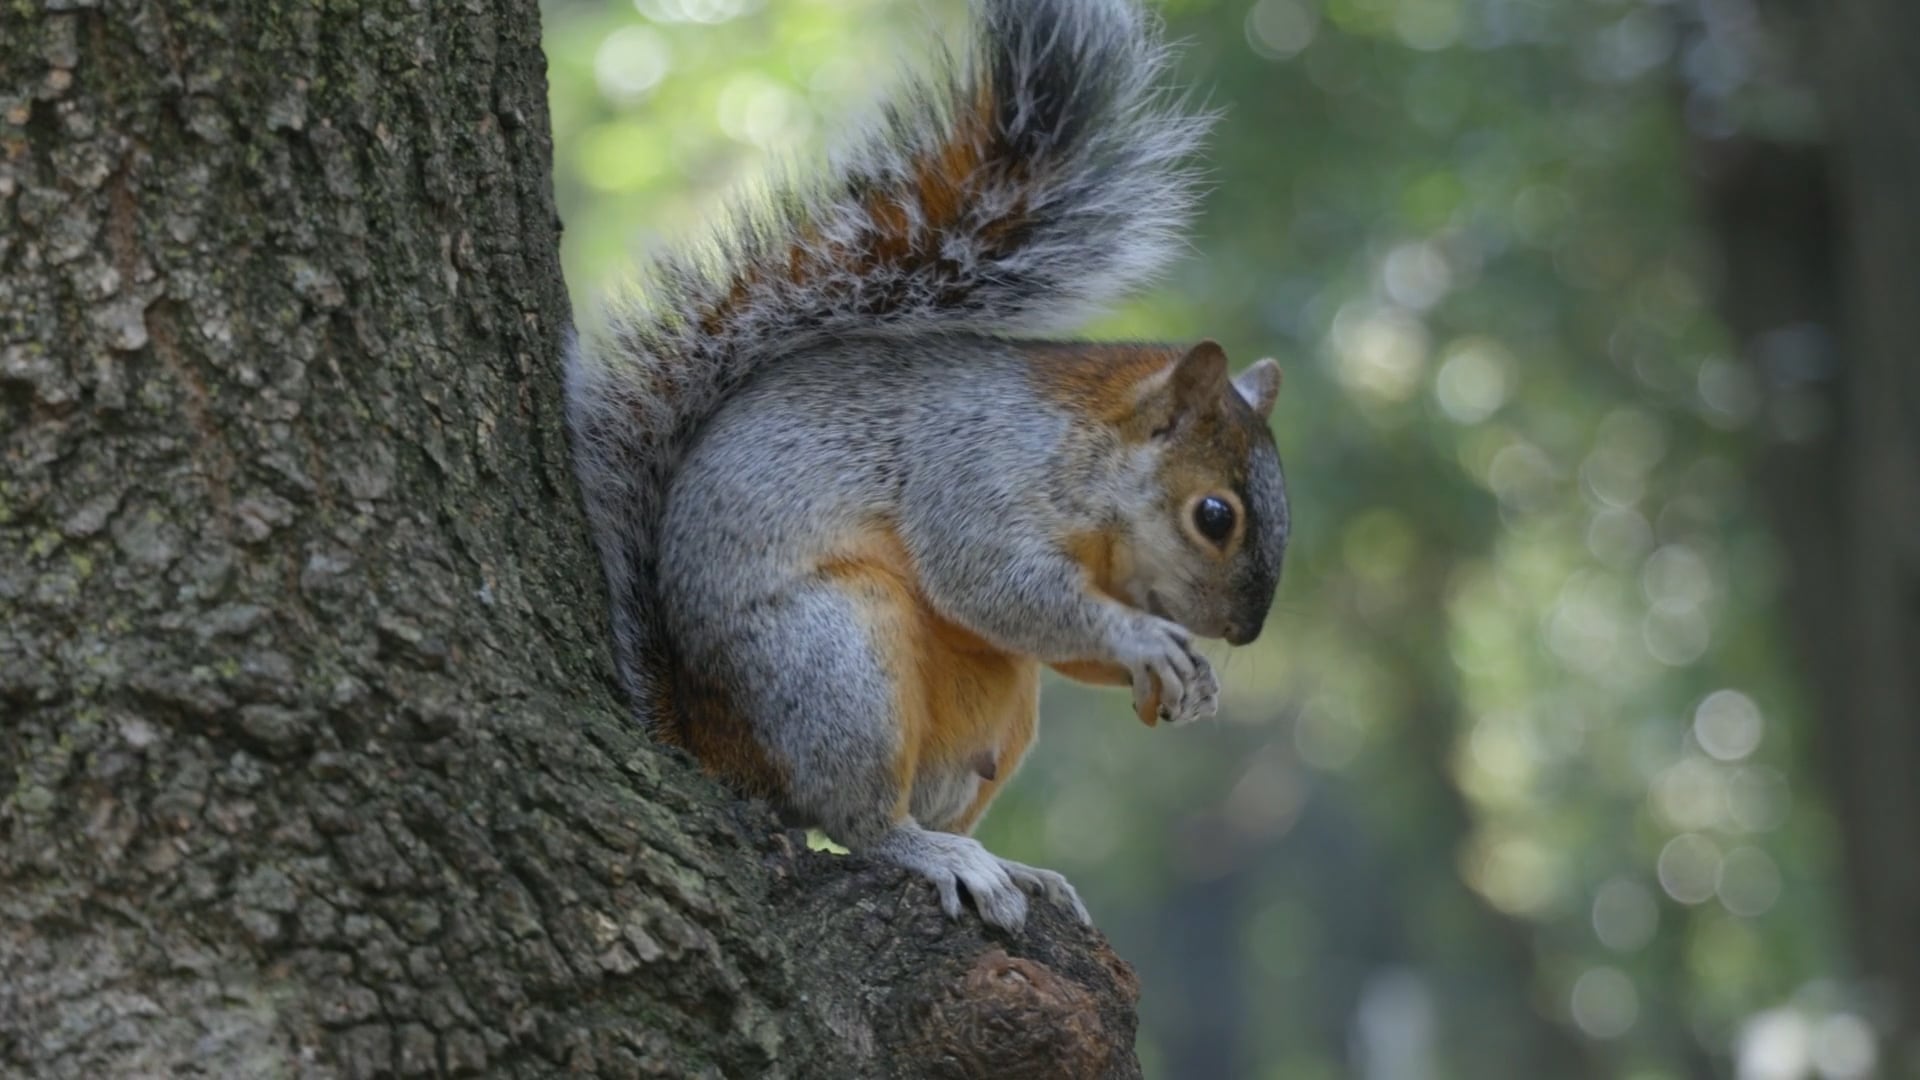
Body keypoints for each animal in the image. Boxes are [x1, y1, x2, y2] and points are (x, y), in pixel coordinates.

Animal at [563, 0, 1289, 931]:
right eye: (1215, 516)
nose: (1244, 633)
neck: (1087, 468)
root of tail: (707, 741)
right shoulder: (967, 470)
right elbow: (992, 584)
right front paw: (1143, 640)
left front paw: (1192, 683)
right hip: (834, 661)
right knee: (856, 817)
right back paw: (932, 853)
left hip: (994, 718)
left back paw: (1008, 863)